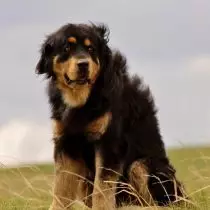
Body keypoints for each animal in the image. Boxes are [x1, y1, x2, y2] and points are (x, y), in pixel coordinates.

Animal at [35, 22, 186, 209]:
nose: (83, 64)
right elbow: (61, 189)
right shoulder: (66, 143)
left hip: (143, 166)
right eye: (66, 48)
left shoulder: (109, 142)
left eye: (91, 48)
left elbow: (101, 188)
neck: (82, 100)